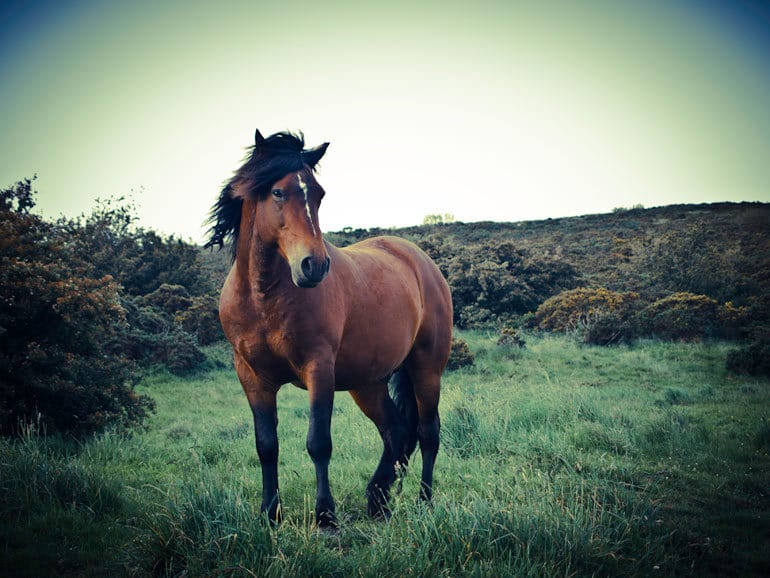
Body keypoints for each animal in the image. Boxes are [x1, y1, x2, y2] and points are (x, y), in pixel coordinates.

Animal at [205, 129, 453, 528]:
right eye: (278, 192)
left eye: (319, 194)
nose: (314, 266)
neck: (263, 297)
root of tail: (419, 259)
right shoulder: (252, 376)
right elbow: (266, 446)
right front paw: (269, 514)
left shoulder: (318, 369)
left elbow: (318, 443)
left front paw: (325, 517)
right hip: (367, 382)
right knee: (395, 431)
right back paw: (377, 501)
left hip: (426, 368)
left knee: (428, 433)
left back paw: (423, 503)